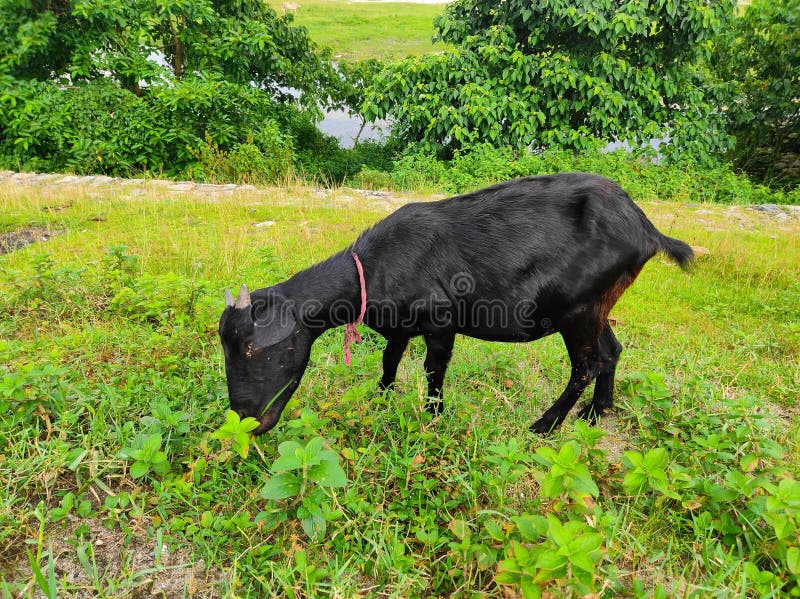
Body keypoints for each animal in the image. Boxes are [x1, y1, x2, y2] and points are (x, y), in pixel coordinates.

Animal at [219, 173, 693, 435]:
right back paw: (595, 415)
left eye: (254, 347)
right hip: (596, 306)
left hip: (578, 309)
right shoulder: (399, 327)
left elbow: (433, 371)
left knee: (587, 365)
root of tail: (646, 229)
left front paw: (433, 417)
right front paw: (380, 398)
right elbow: (390, 360)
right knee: (611, 352)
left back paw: (543, 426)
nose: (246, 420)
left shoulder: (440, 322)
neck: (372, 269)